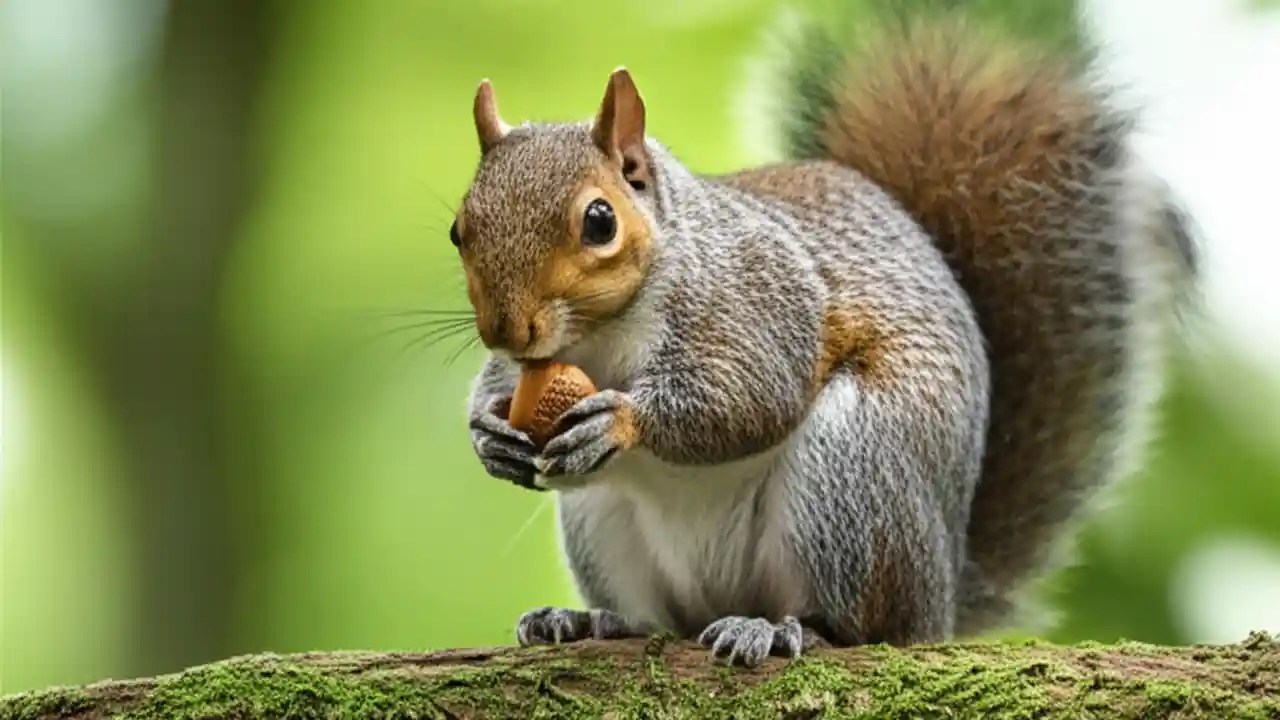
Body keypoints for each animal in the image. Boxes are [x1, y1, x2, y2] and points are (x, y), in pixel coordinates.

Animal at [455, 2, 1198, 667]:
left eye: (600, 221)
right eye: (460, 229)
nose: (507, 328)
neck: (604, 334)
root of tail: (941, 598)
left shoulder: (758, 298)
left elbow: (751, 394)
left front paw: (620, 419)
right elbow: (501, 388)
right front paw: (489, 434)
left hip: (852, 481)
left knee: (859, 627)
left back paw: (785, 630)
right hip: (603, 522)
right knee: (655, 618)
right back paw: (590, 622)